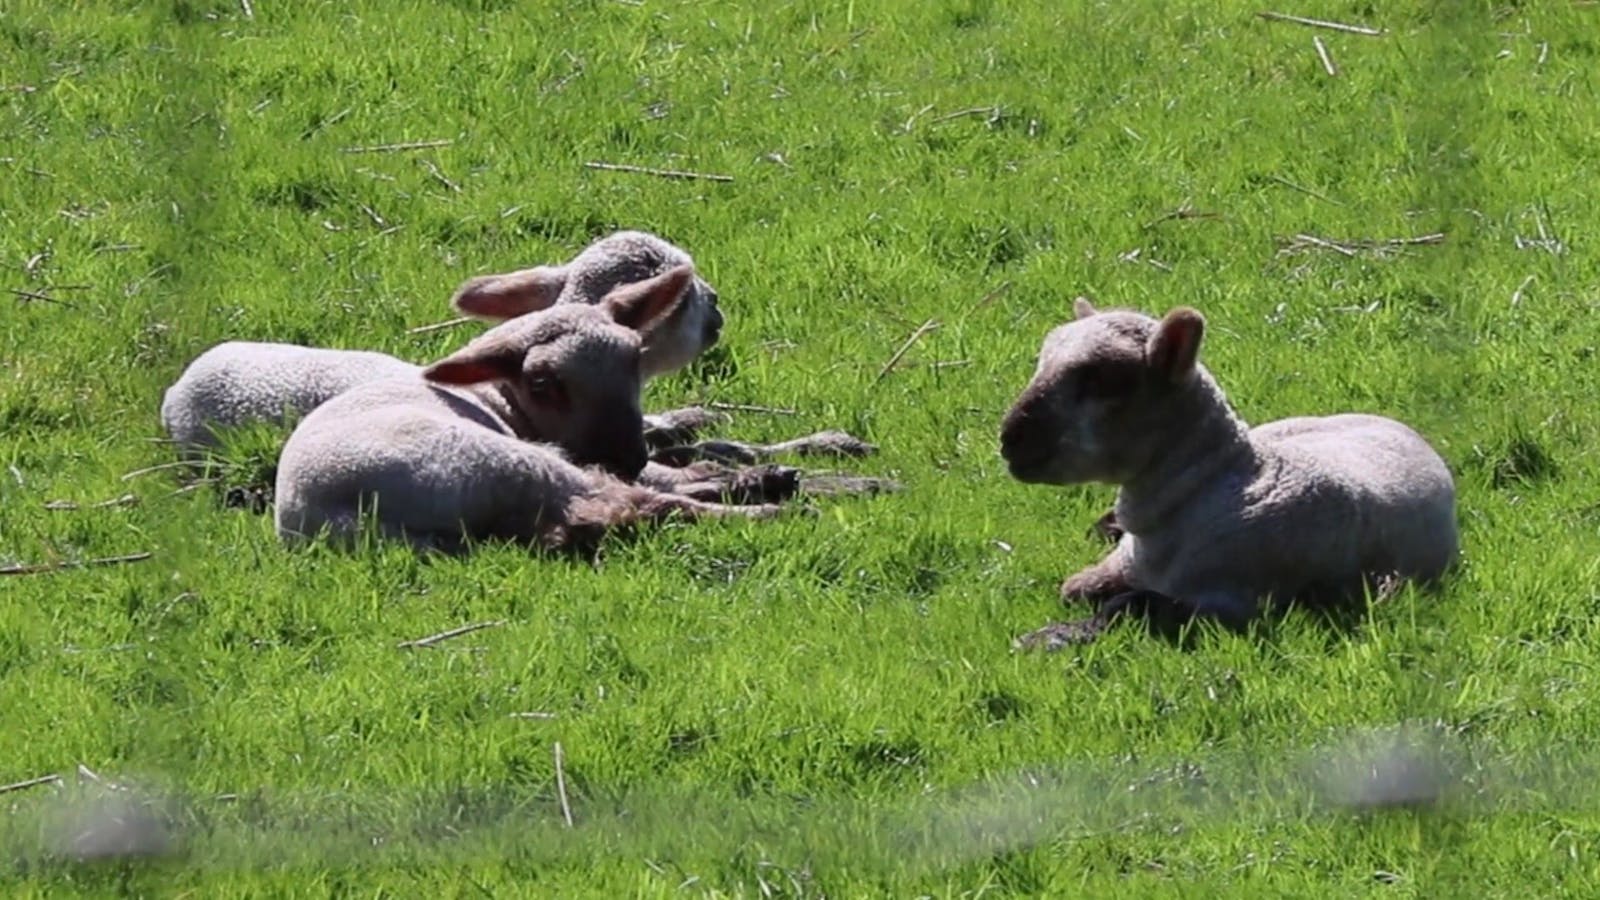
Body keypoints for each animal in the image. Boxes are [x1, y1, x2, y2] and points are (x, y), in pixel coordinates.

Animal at [274, 265, 782, 553]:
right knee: (636, 504)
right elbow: (663, 480)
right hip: (501, 463)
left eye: (635, 357)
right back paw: (769, 503)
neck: (501, 400)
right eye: (541, 382)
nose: (626, 456)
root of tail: (333, 518)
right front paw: (738, 475)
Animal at [998, 299, 1458, 648]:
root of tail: (1401, 425)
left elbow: (1128, 604)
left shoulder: (1234, 606)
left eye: (1106, 380)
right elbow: (1075, 588)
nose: (1009, 438)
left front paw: (1044, 639)